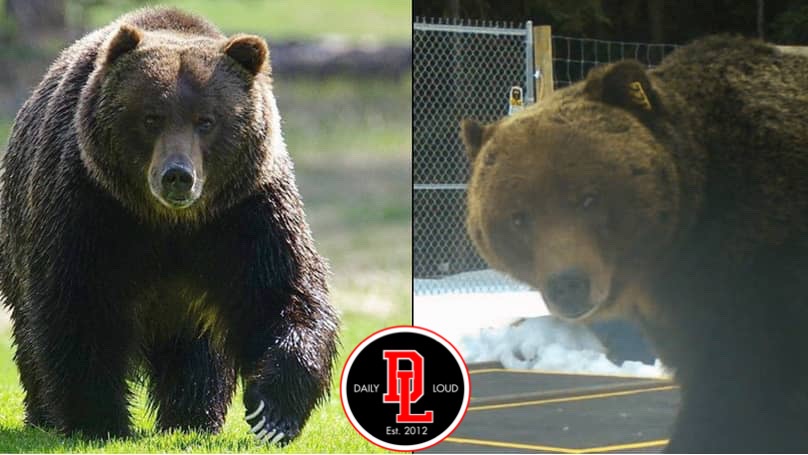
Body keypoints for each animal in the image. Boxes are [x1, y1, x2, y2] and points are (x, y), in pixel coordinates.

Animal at [0, 7, 338, 445]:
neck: (170, 223)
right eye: (151, 117)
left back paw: (193, 416)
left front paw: (271, 412)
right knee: (29, 332)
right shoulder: (90, 205)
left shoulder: (247, 214)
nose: (177, 175)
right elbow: (79, 303)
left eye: (206, 120)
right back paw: (42, 413)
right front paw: (97, 420)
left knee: (199, 352)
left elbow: (283, 295)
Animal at [461, 35, 808, 452]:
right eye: (518, 216)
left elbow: (744, 393)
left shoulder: (760, 269)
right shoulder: (680, 309)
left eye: (588, 198)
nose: (568, 284)